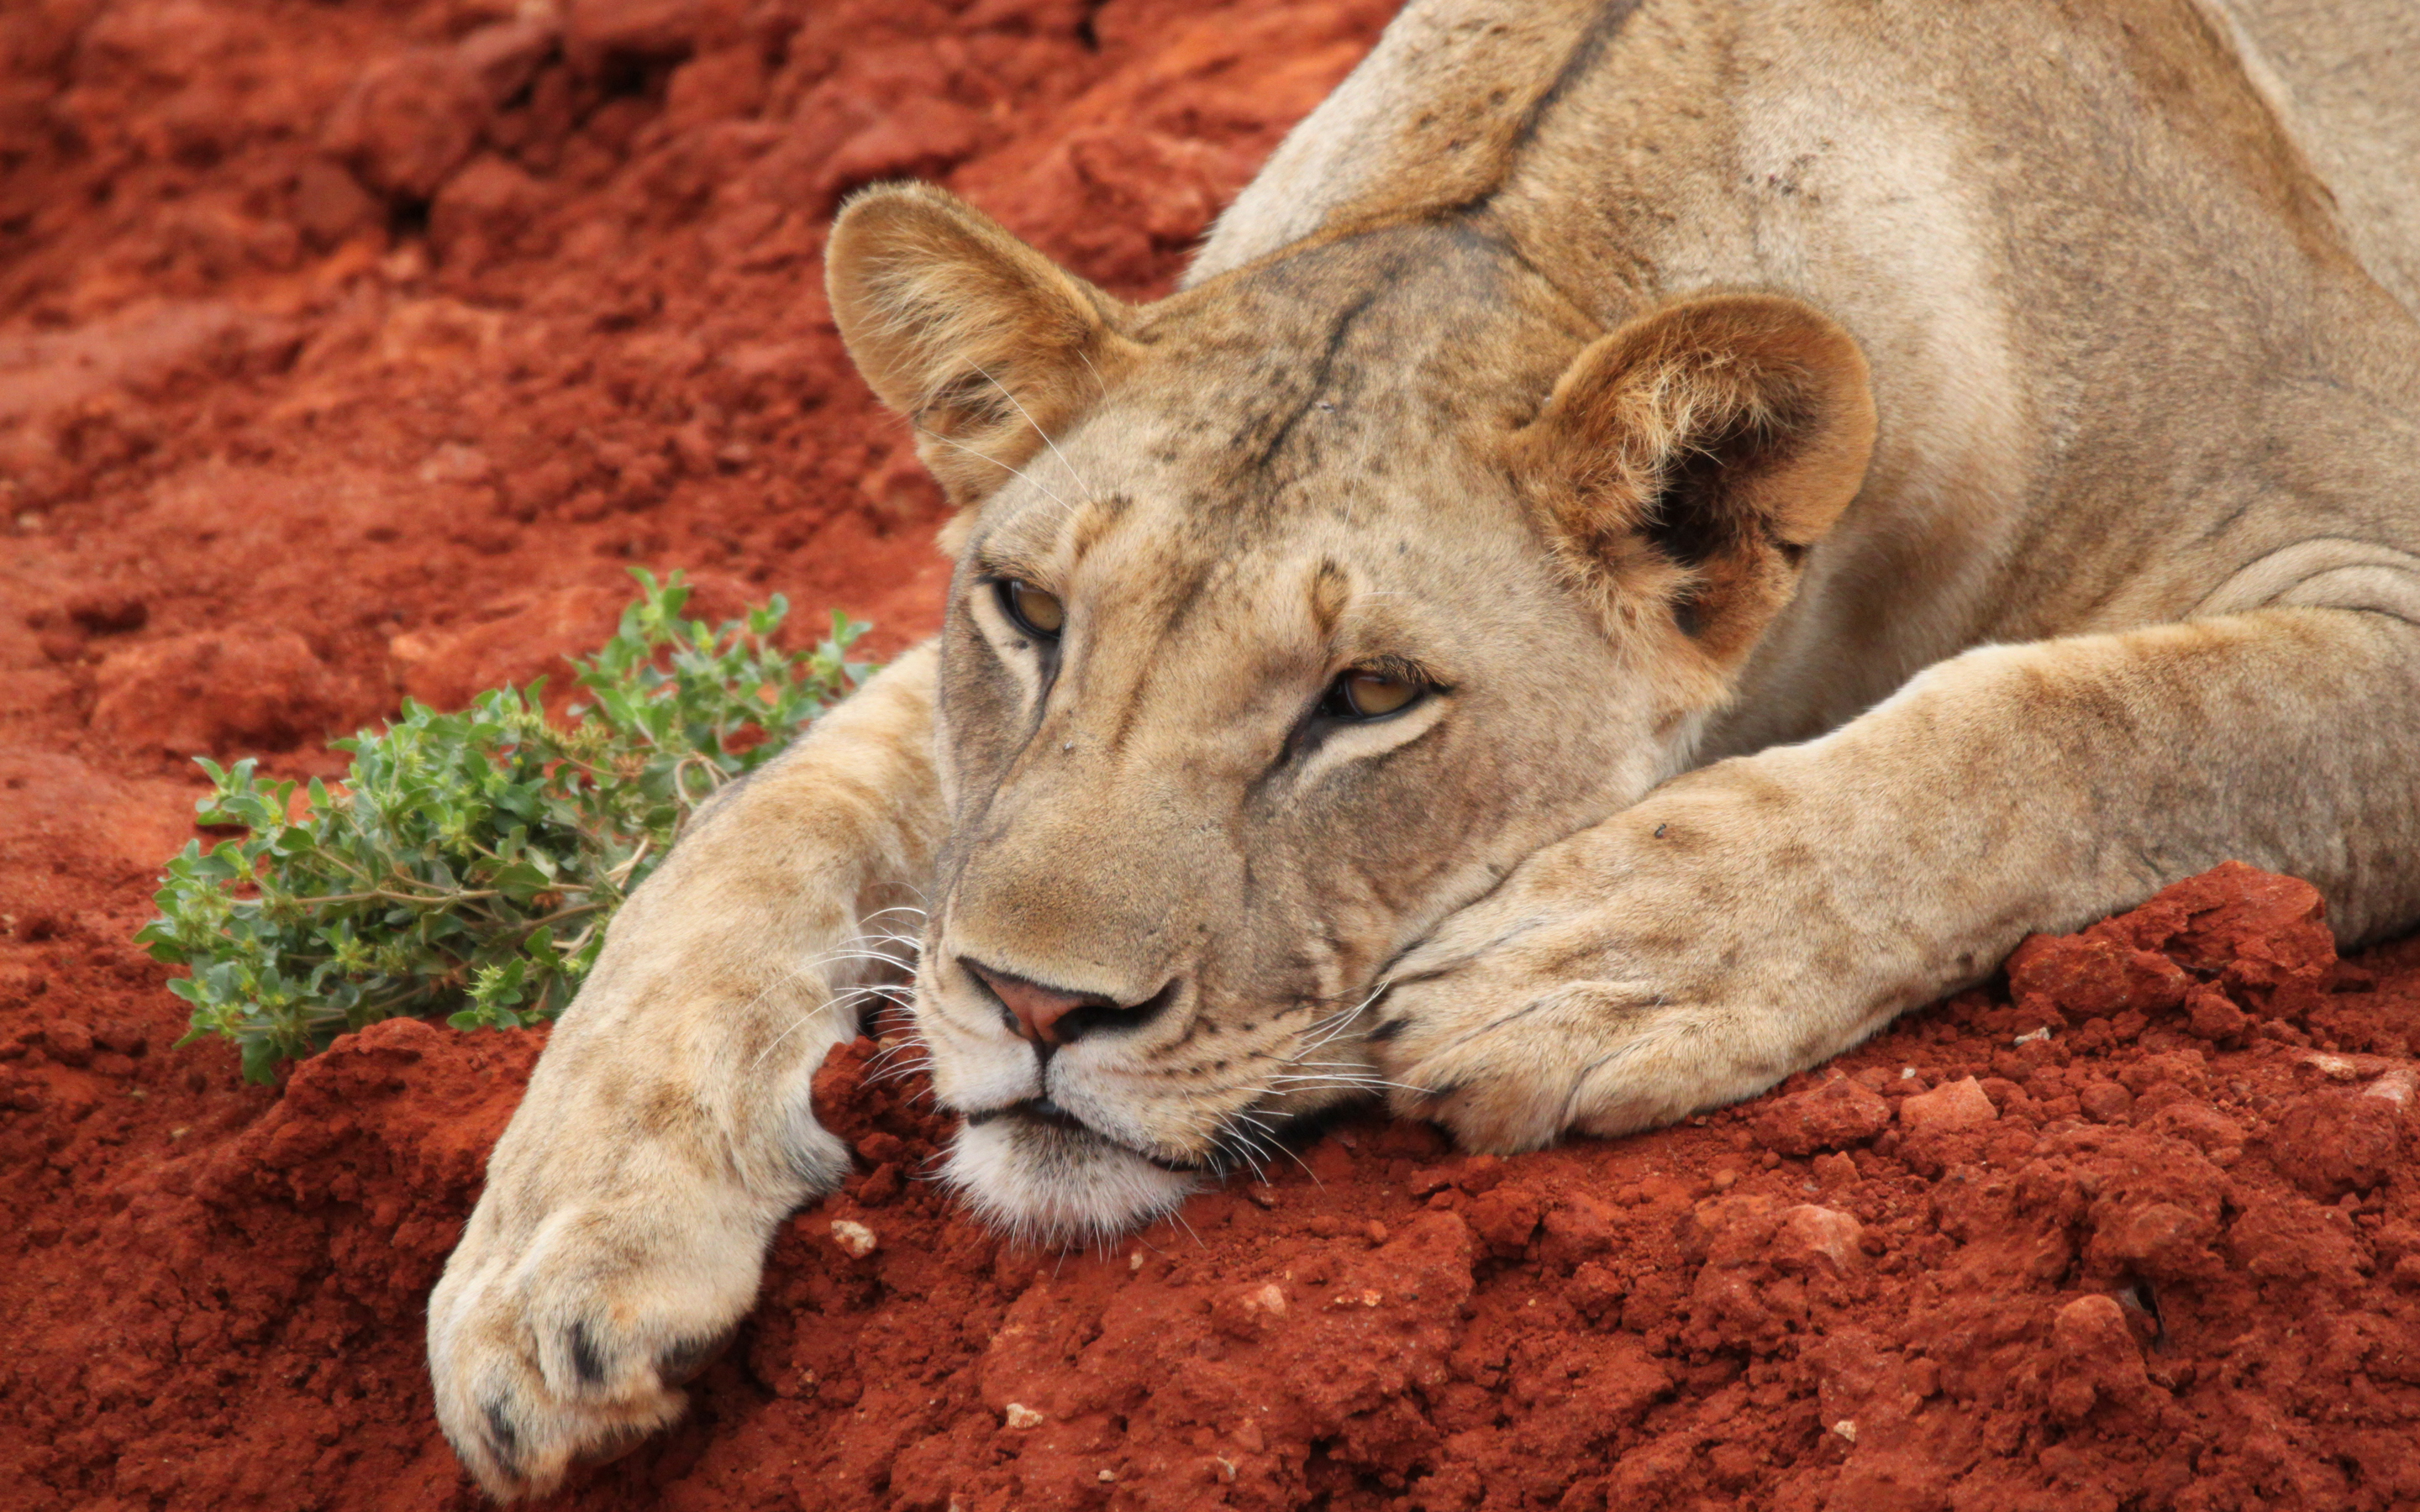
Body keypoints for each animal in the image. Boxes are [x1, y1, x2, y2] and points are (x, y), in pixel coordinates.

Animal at [426, 0, 2420, 1495]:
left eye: (1371, 698)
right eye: (1029, 612)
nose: (1039, 1009)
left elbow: (2090, 718)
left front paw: (1605, 959)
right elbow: (744, 831)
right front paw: (550, 1261)